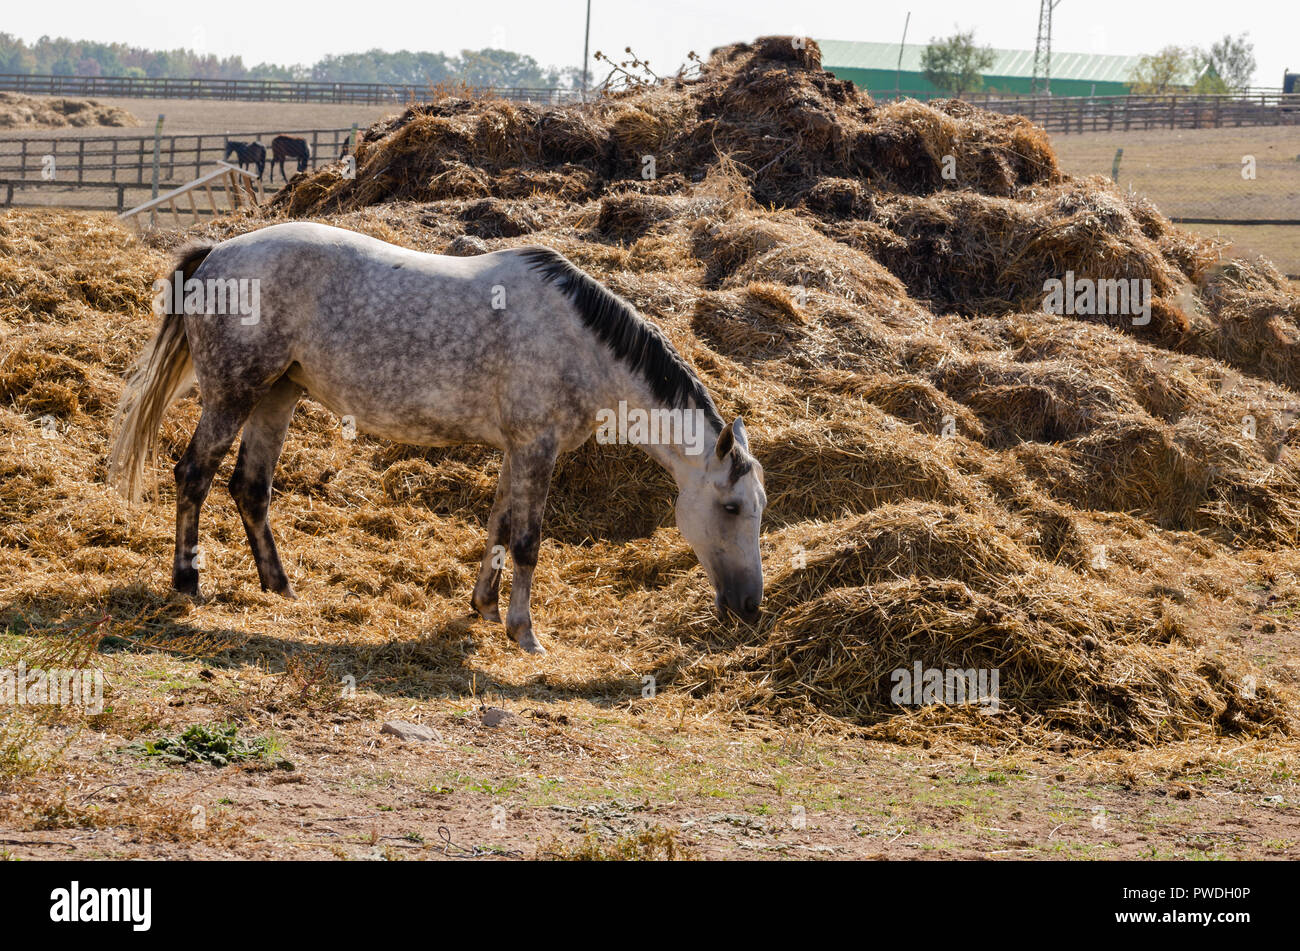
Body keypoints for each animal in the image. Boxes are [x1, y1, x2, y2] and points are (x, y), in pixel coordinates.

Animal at [108, 222, 766, 654]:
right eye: (732, 508)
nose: (750, 607)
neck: (582, 344)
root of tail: (216, 253)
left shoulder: (517, 450)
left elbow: (499, 525)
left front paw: (485, 609)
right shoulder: (537, 448)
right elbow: (527, 539)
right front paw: (525, 633)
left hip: (277, 395)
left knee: (250, 488)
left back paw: (281, 589)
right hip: (233, 395)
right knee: (194, 475)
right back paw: (188, 584)